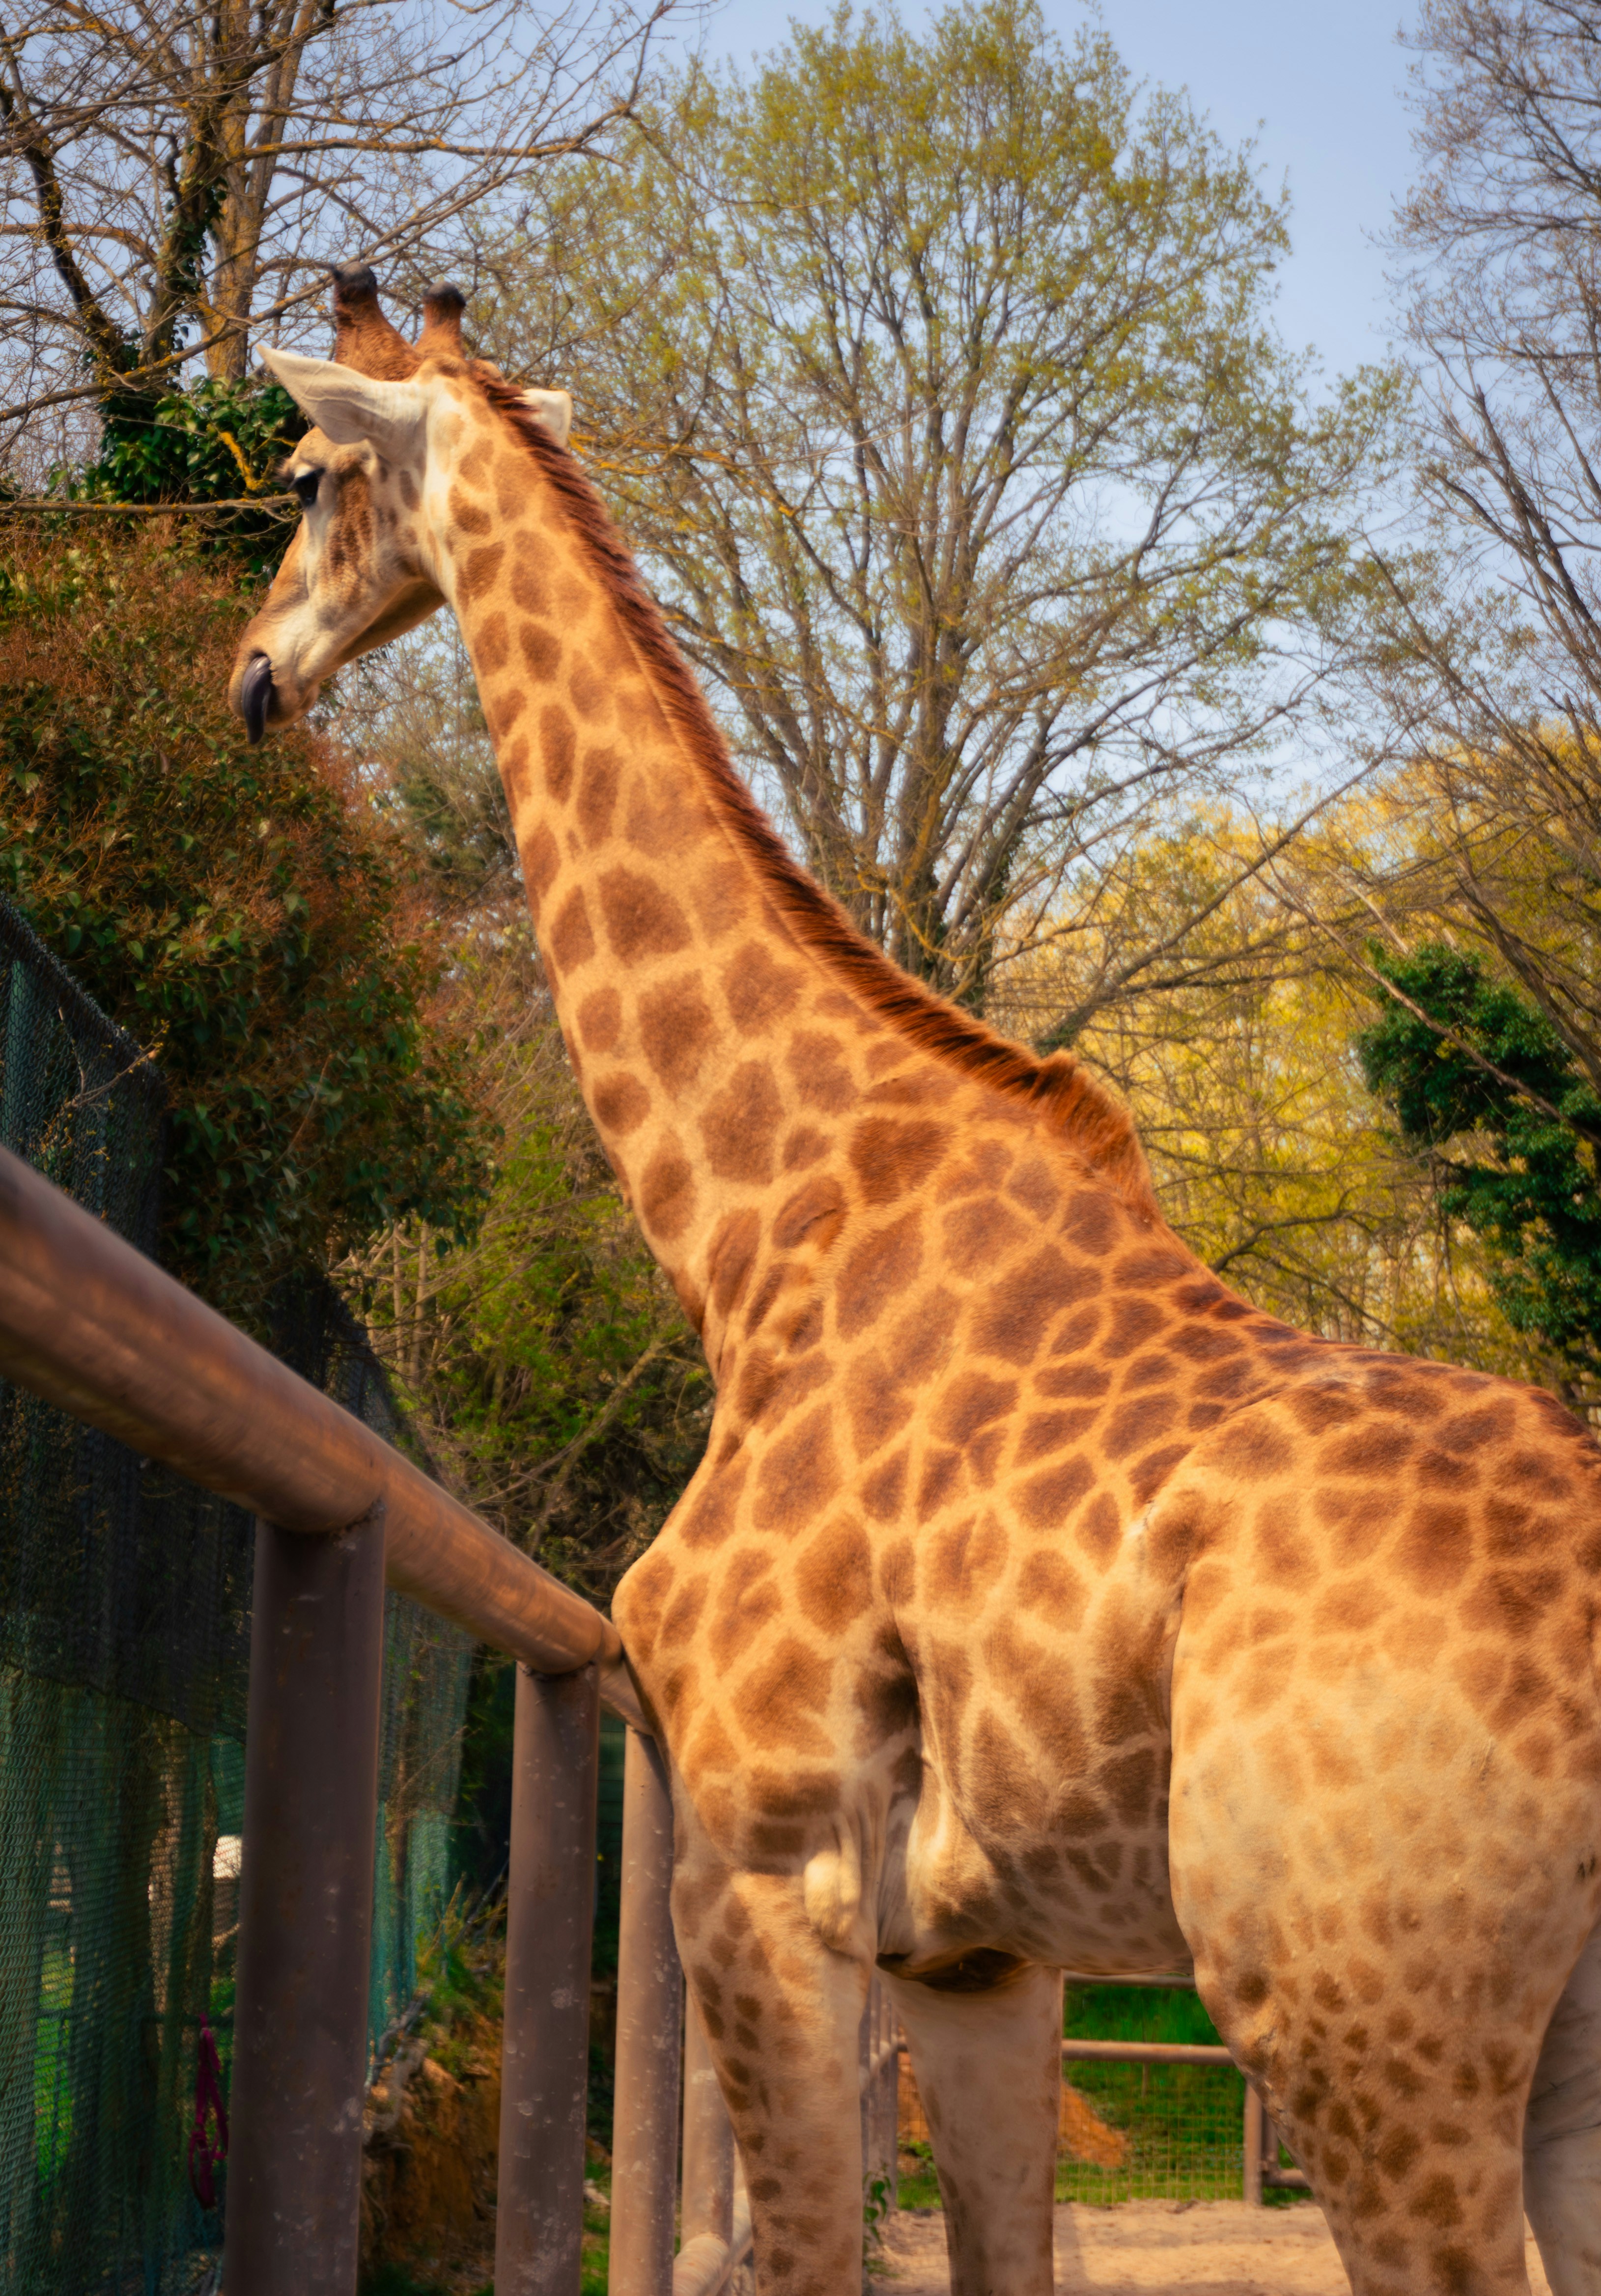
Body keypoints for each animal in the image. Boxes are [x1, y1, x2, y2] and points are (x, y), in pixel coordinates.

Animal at [229, 266, 1601, 2296]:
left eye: (316, 474)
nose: (252, 673)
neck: (760, 1228)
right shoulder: (973, 1950)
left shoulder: (758, 1864)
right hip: (1546, 2049)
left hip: (1361, 2013)